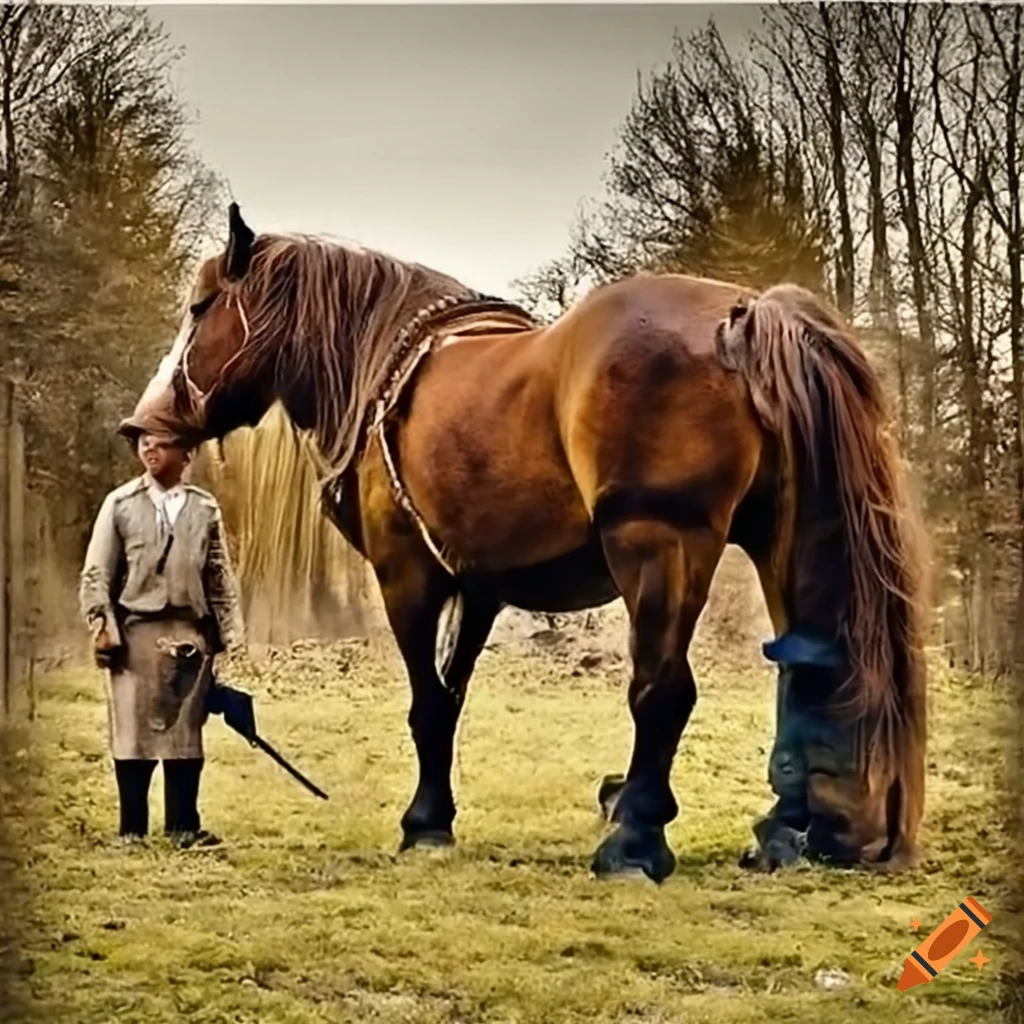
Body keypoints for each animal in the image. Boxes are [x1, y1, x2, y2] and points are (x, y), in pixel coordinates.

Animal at [119, 203, 929, 882]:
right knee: (810, 669)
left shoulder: (408, 576)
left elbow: (424, 701)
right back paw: (790, 833)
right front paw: (435, 817)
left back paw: (634, 840)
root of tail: (743, 315)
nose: (142, 426)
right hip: (783, 543)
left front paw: (423, 824)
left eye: (201, 307)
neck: (384, 371)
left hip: (659, 545)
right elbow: (448, 700)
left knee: (663, 690)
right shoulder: (478, 588)